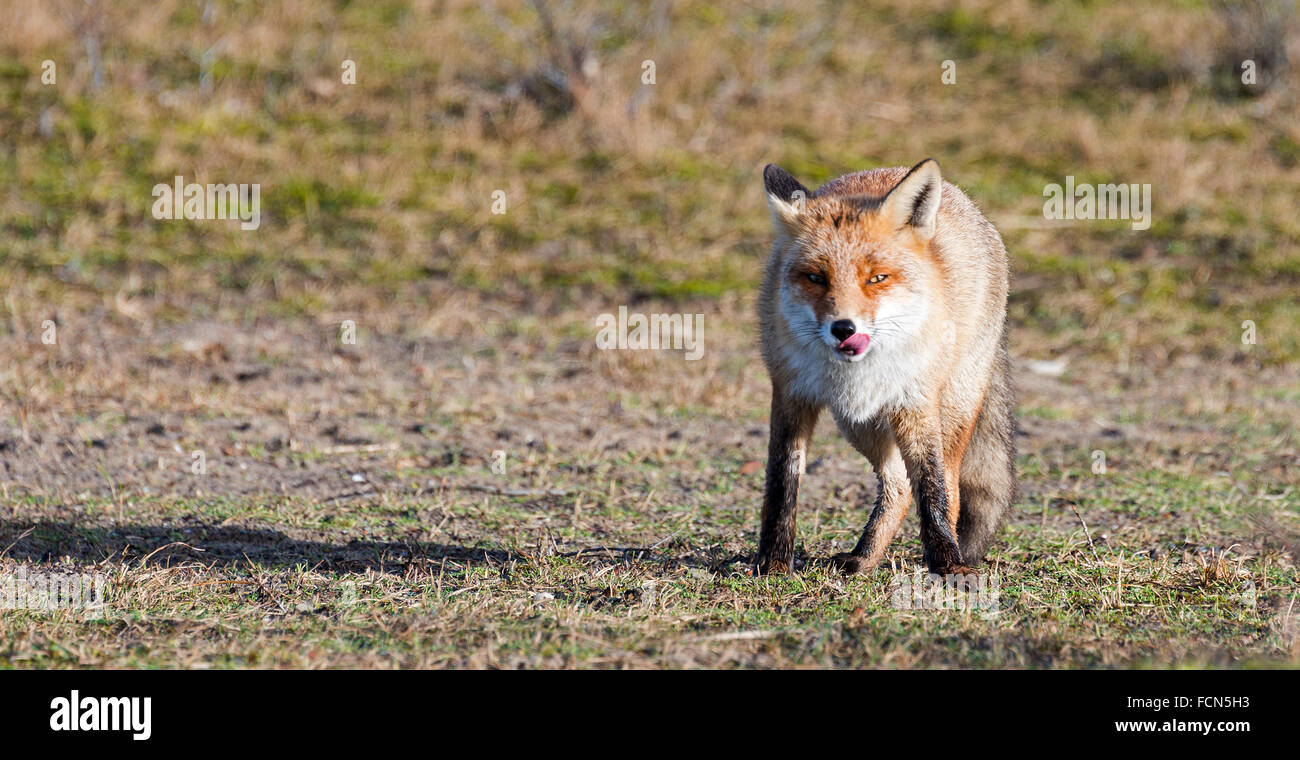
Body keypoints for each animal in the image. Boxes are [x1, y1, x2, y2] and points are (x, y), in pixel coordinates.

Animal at [754, 158, 1016, 577]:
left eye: (877, 278)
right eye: (815, 277)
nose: (844, 328)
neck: (859, 370)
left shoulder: (916, 402)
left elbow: (934, 489)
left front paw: (948, 563)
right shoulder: (790, 392)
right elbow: (782, 483)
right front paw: (774, 561)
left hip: (950, 408)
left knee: (950, 484)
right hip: (860, 422)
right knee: (898, 485)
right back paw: (864, 558)